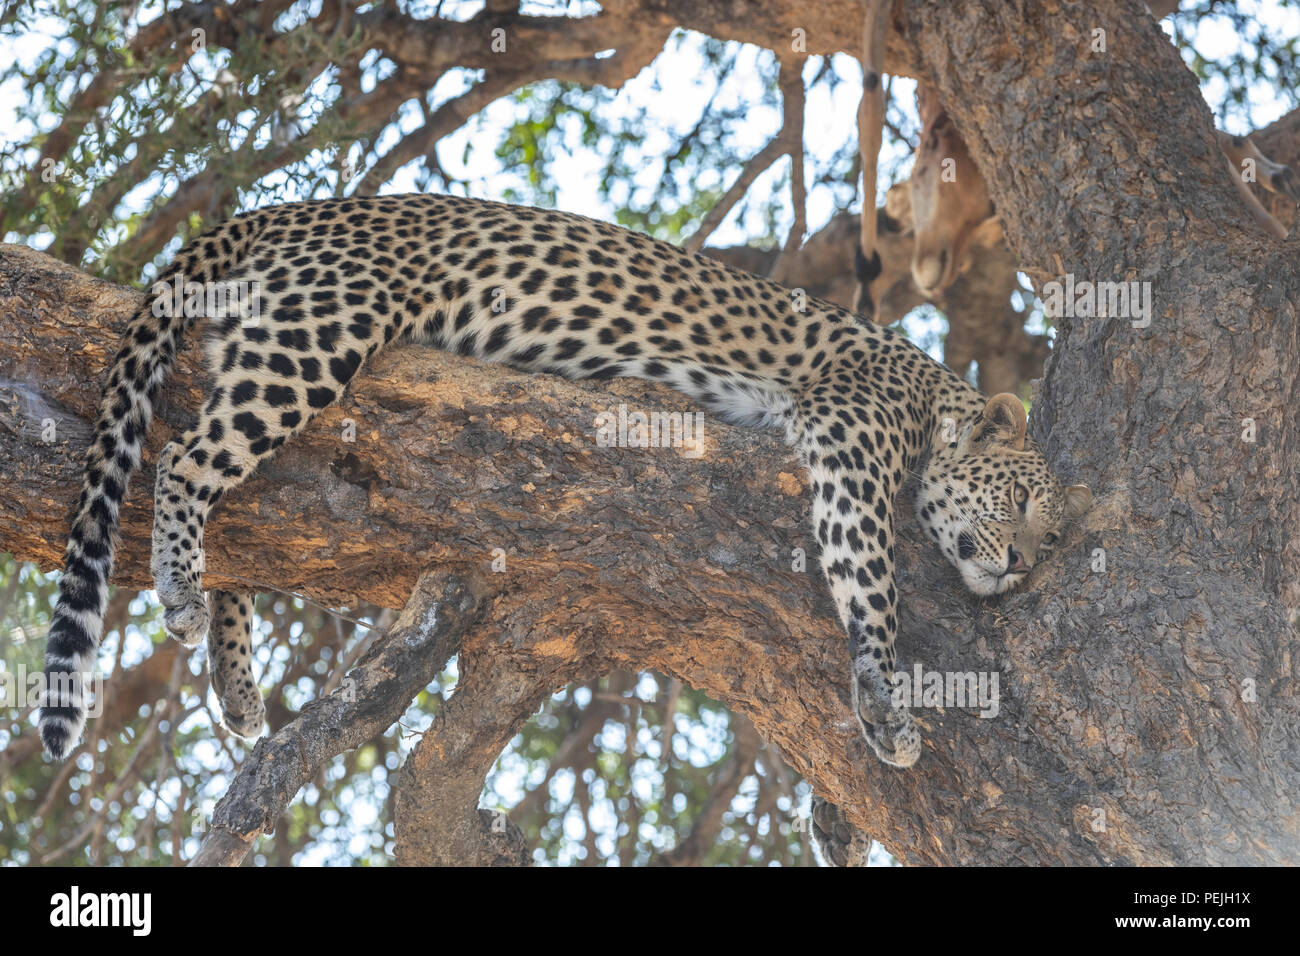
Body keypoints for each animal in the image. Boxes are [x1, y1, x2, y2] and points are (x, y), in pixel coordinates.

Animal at [35, 191, 1092, 863]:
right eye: (1024, 504)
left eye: (1050, 538)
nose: (1025, 568)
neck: (934, 393)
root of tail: (287, 209)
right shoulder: (848, 441)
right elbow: (870, 582)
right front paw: (889, 707)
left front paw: (836, 818)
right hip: (318, 335)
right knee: (186, 459)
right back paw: (179, 590)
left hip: (255, 349)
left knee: (225, 491)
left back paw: (235, 683)